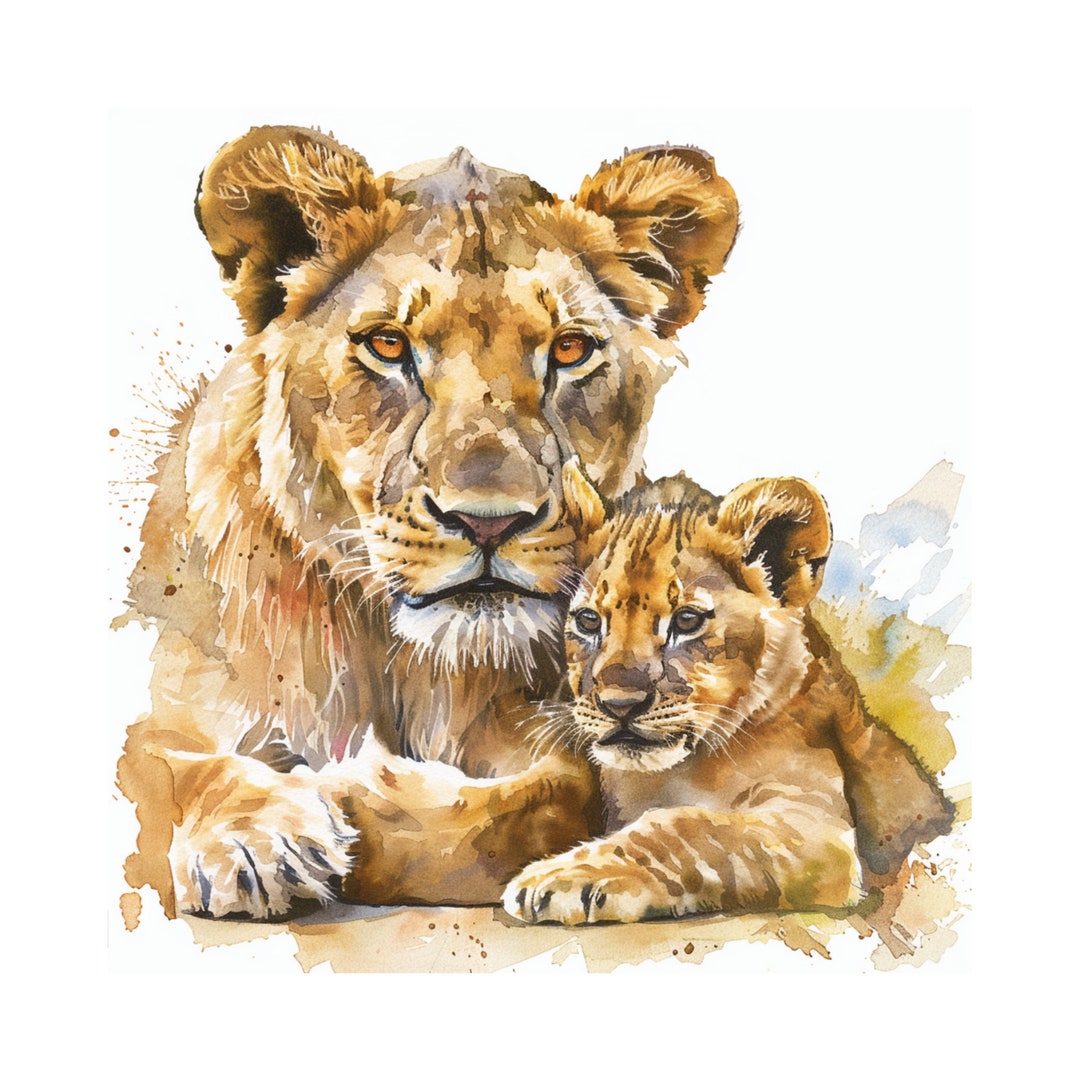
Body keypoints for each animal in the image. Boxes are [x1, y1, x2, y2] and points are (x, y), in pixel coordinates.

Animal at [116, 126, 740, 919]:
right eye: (387, 345)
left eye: (569, 350)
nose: (489, 524)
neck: (403, 666)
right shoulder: (169, 696)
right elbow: (172, 761)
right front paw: (256, 839)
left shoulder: (557, 734)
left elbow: (540, 800)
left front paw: (352, 791)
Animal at [503, 467, 955, 925]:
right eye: (589, 621)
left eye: (687, 620)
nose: (619, 705)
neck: (671, 773)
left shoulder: (816, 825)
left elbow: (688, 827)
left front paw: (559, 877)